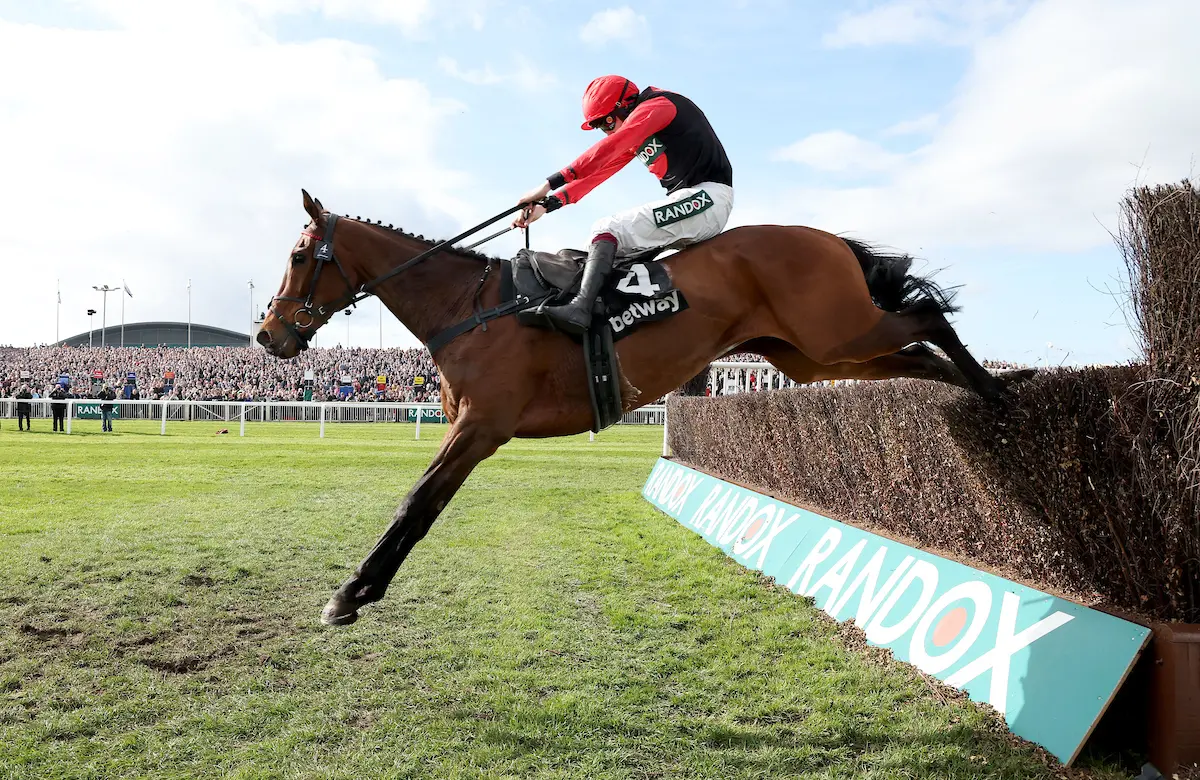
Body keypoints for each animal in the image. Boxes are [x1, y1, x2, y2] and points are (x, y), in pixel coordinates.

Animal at [259, 190, 1011, 626]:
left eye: (298, 255)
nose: (268, 335)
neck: (471, 308)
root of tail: (825, 237)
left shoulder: (481, 426)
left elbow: (414, 504)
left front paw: (351, 591)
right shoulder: (468, 429)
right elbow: (425, 506)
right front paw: (364, 589)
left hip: (837, 333)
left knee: (927, 318)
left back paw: (1003, 395)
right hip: (817, 354)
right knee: (922, 355)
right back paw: (984, 396)